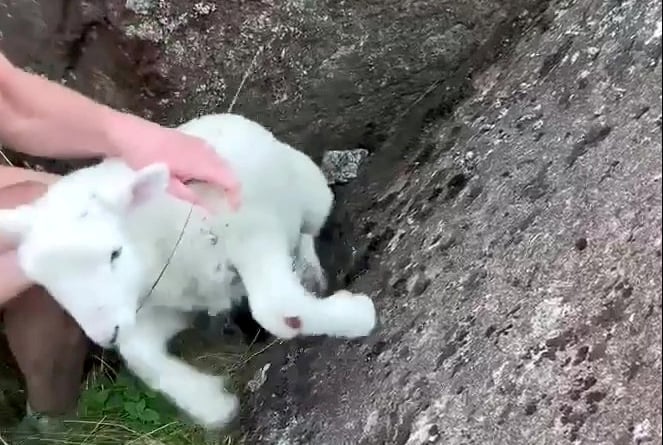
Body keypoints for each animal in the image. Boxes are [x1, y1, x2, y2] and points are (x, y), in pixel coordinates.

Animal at [0, 113, 379, 430]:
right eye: (44, 279)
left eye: (114, 253)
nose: (106, 334)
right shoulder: (166, 305)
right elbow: (140, 355)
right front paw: (211, 404)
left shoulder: (252, 231)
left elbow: (278, 309)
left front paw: (358, 316)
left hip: (310, 191)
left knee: (307, 230)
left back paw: (309, 270)